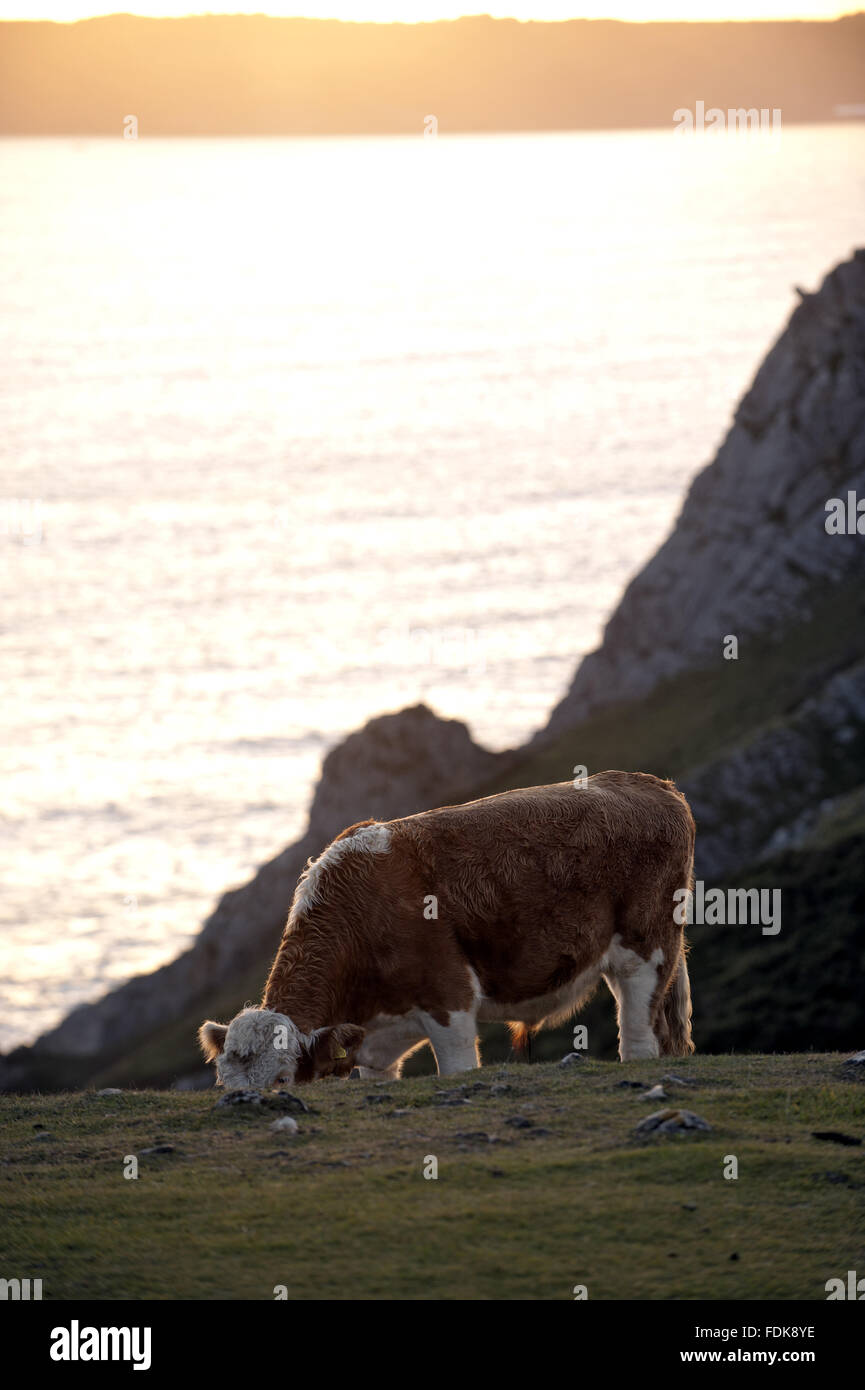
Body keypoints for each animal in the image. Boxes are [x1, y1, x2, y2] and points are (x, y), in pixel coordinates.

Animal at [199, 772, 695, 1088]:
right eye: (224, 1083)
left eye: (282, 1080)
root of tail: (652, 784)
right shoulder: (376, 1042)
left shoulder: (449, 1001)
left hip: (645, 952)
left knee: (639, 1037)